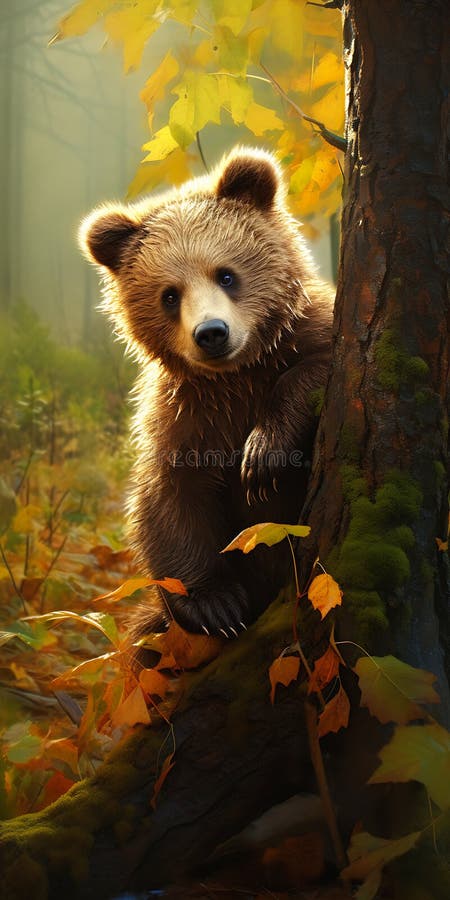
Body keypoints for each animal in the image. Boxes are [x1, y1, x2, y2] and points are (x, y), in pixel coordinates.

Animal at [80, 147, 334, 639]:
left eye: (226, 275)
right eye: (170, 295)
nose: (212, 333)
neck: (237, 377)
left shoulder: (310, 337)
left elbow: (314, 369)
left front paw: (262, 456)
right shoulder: (187, 413)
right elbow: (169, 495)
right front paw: (214, 604)